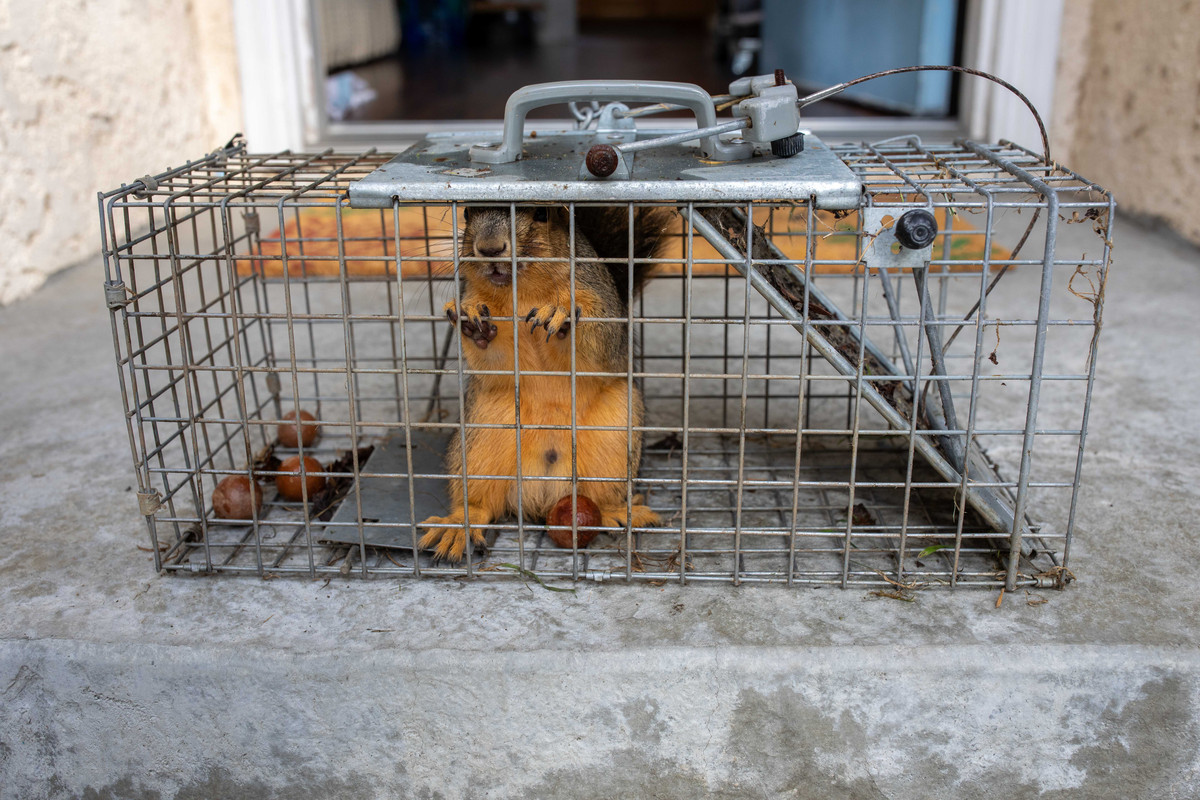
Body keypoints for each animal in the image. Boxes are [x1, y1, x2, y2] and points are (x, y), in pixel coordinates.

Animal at [417, 204, 672, 561]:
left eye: (541, 214)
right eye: (467, 213)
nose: (490, 248)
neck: (524, 290)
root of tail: (545, 492)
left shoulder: (603, 305)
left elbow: (601, 345)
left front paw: (561, 314)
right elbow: (495, 361)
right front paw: (471, 321)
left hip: (616, 431)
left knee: (603, 492)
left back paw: (617, 511)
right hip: (483, 431)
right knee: (481, 503)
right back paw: (458, 525)